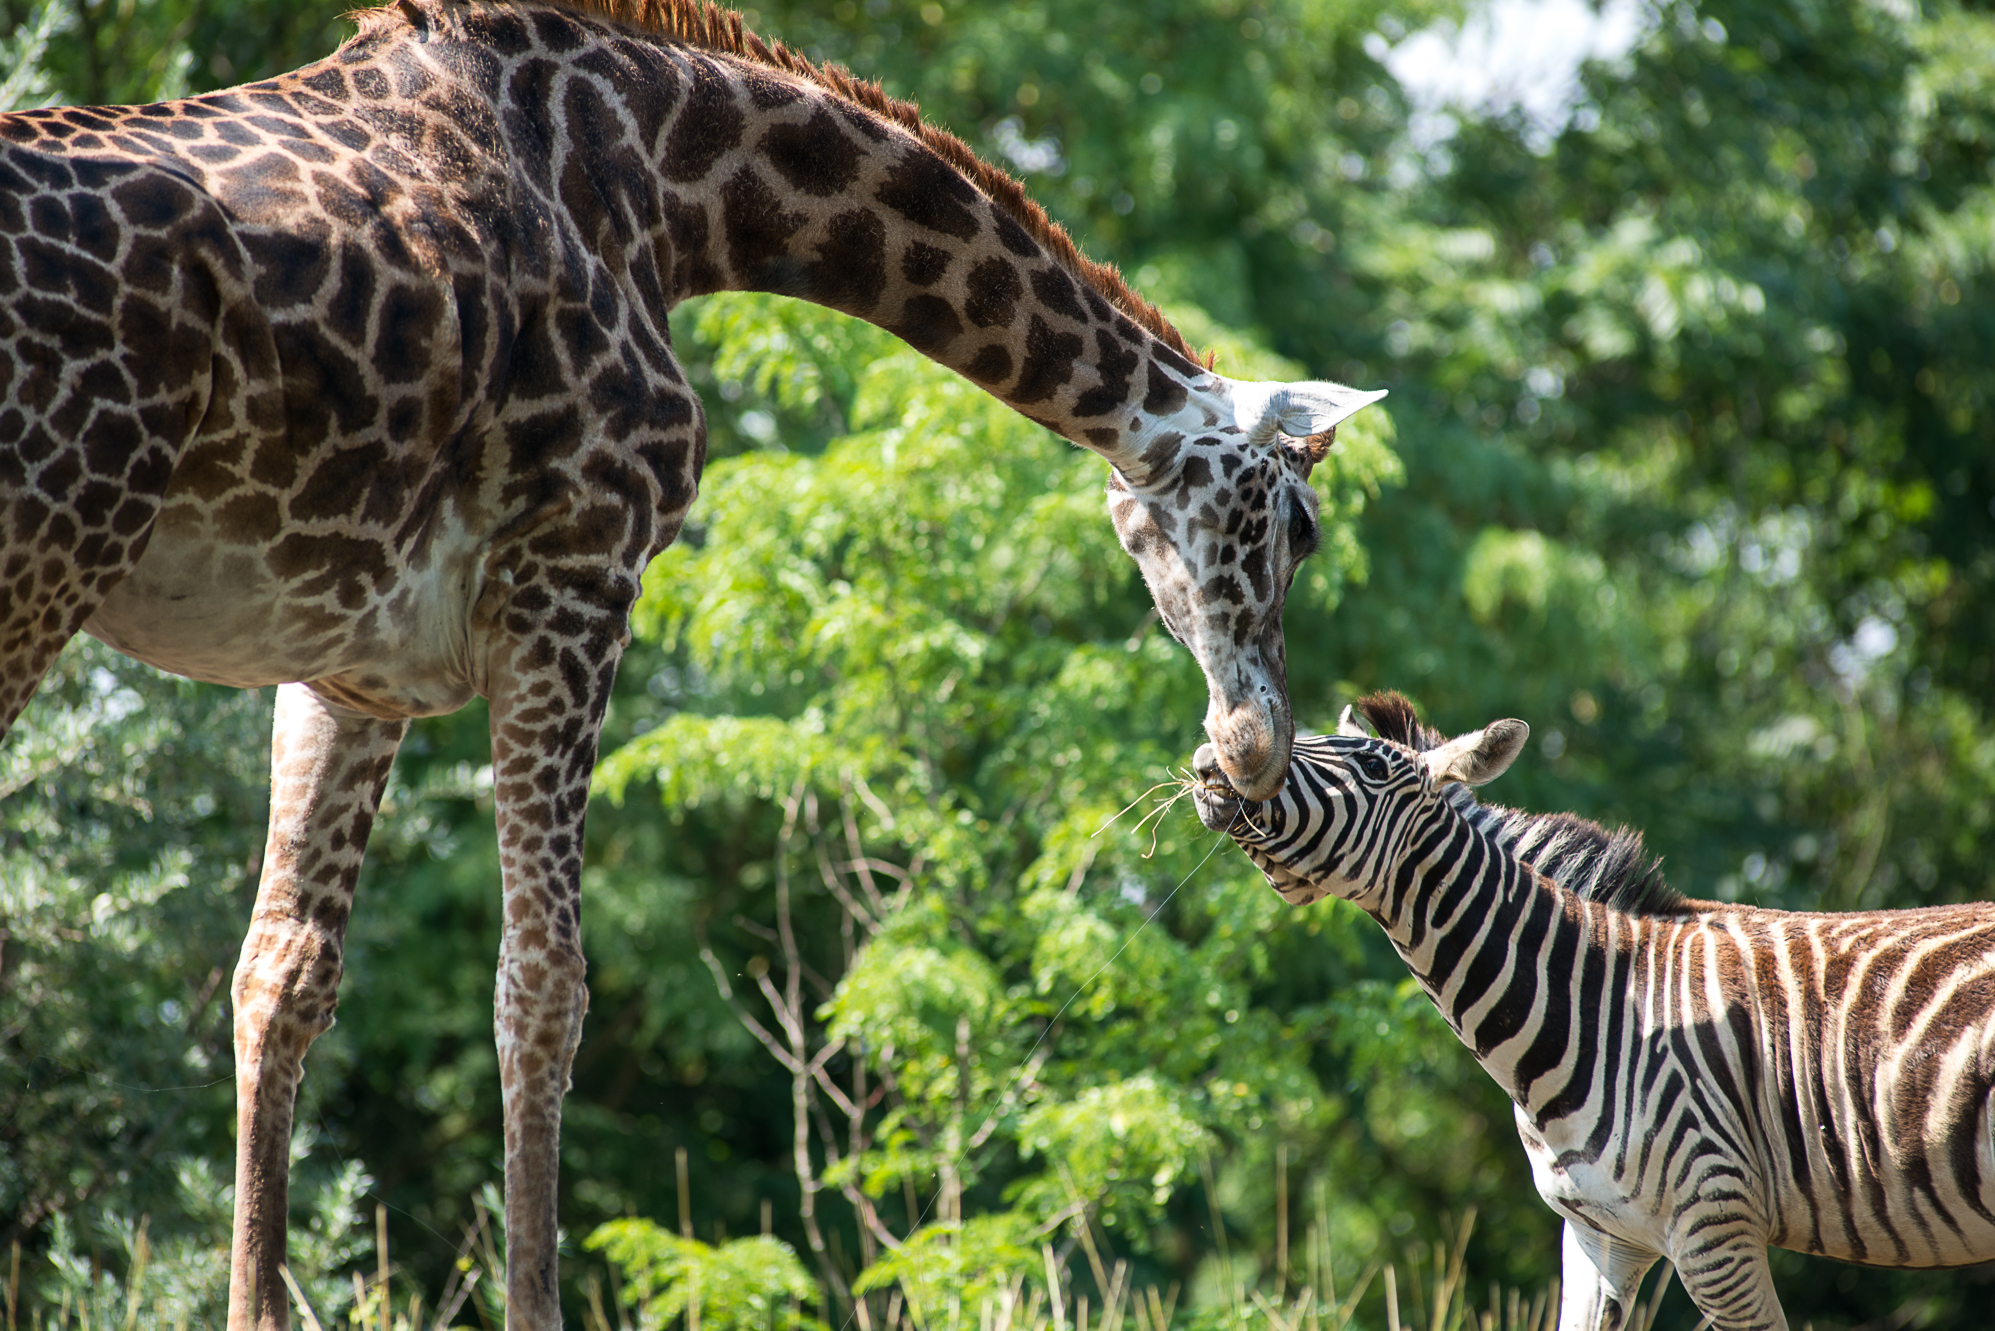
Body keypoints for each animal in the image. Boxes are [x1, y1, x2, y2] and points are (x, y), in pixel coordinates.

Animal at [0, 1, 1387, 1325]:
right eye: (1301, 523)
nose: (1254, 746)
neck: (673, 188)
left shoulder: (348, 659)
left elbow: (280, 974)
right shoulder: (575, 574)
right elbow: (544, 983)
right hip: (57, 542)